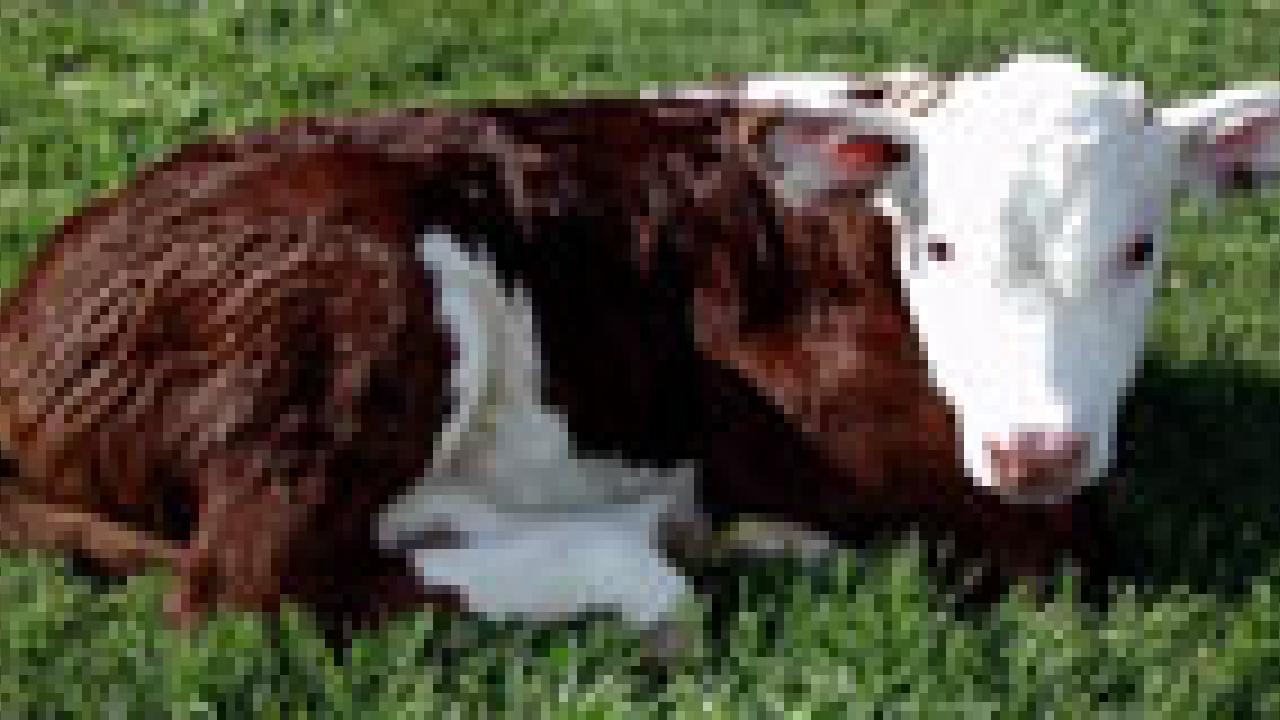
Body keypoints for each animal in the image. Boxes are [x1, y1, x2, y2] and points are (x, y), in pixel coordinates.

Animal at [0, 54, 1275, 642]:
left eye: (1139, 247)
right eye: (942, 246)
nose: (1034, 449)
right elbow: (1047, 554)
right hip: (345, 302)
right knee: (243, 584)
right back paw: (639, 559)